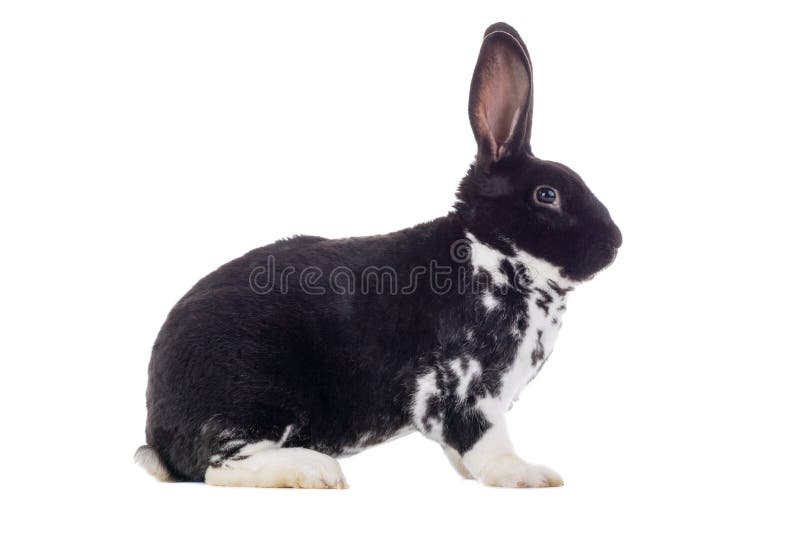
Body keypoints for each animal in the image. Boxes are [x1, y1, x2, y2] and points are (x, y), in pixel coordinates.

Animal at [135, 22, 622, 489]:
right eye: (547, 195)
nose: (615, 241)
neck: (493, 252)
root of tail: (159, 437)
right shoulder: (462, 389)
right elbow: (485, 441)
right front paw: (526, 475)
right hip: (256, 391)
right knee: (220, 466)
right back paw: (316, 472)